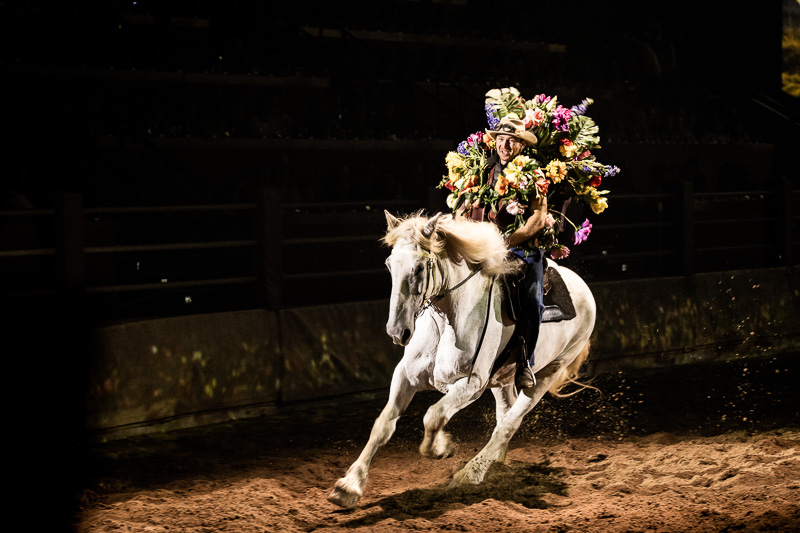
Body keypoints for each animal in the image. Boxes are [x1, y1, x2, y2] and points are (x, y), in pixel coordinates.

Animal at [328, 211, 596, 508]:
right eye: (389, 265)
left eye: (419, 268)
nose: (398, 332)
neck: (446, 320)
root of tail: (582, 287)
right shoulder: (405, 376)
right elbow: (383, 425)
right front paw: (349, 486)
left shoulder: (471, 384)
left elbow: (433, 416)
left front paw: (441, 447)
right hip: (502, 379)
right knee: (505, 415)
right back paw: (494, 465)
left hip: (547, 374)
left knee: (511, 421)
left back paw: (471, 474)